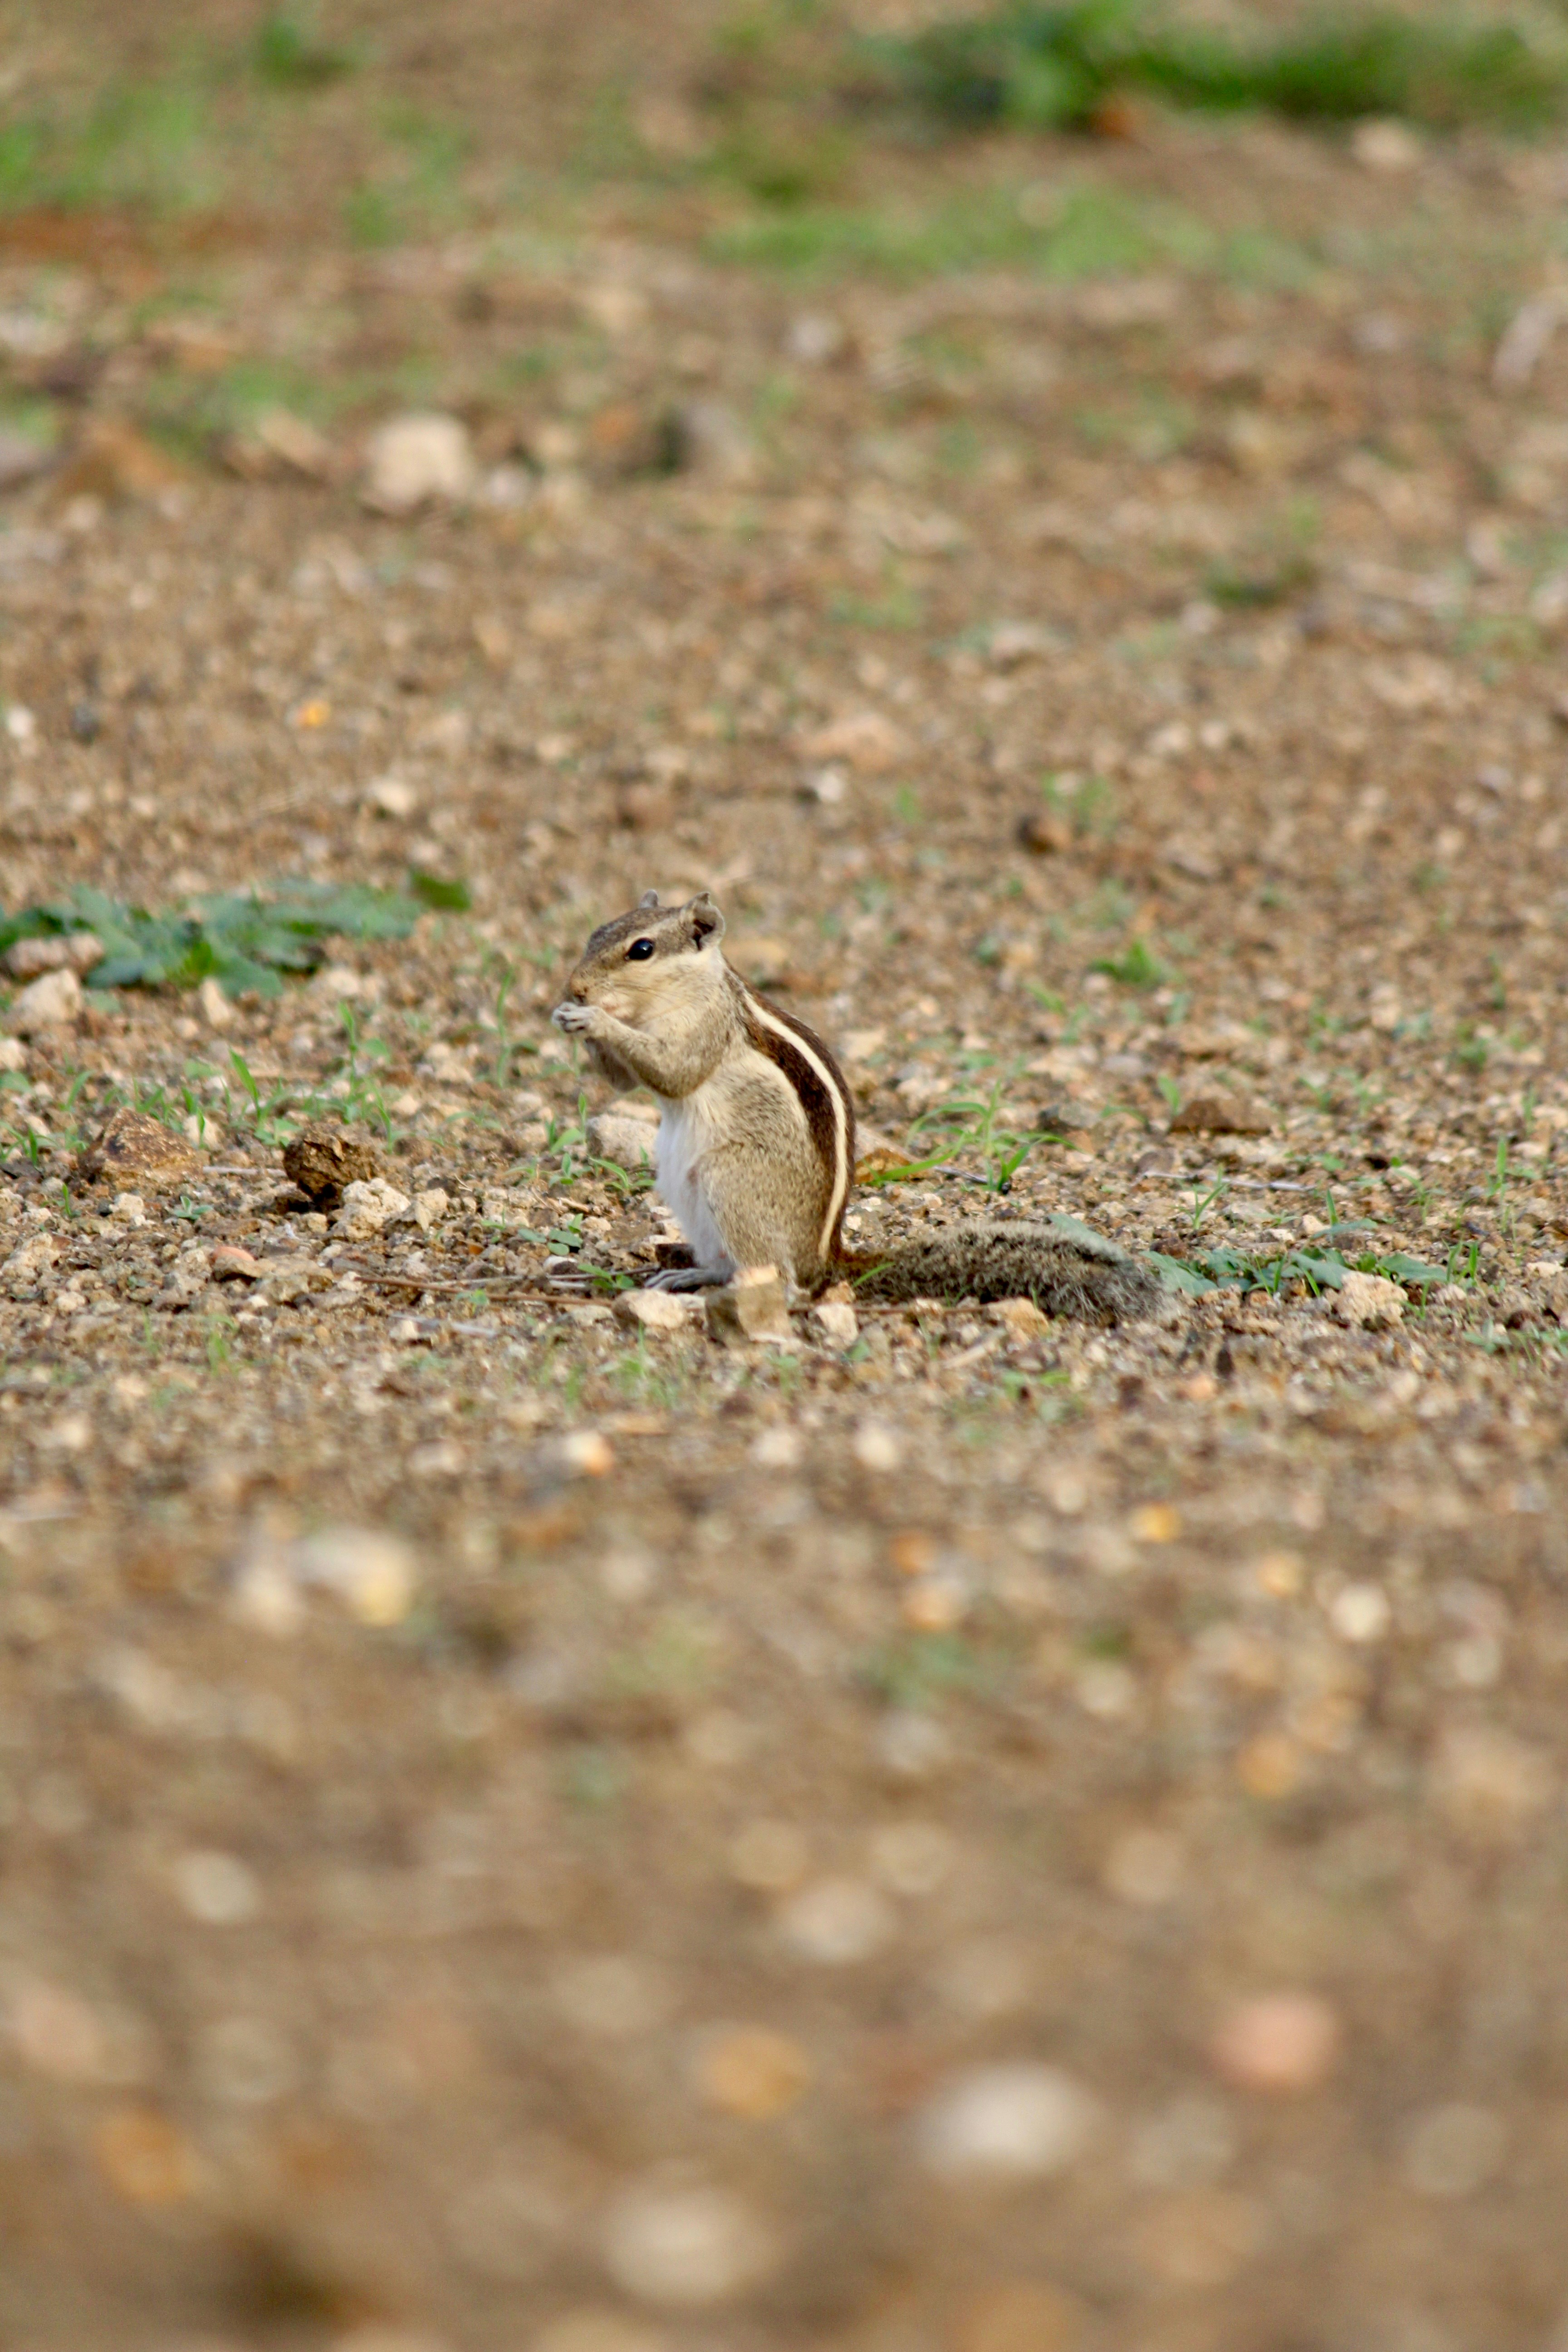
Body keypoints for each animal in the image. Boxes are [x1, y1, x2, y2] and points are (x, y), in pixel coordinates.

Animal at [552, 889, 1156, 1324]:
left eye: (642, 950)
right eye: (596, 933)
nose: (576, 986)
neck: (683, 992)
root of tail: (827, 1261)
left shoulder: (705, 1031)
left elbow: (674, 1073)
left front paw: (595, 1019)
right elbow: (624, 1082)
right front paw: (571, 1017)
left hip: (732, 1182)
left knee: (785, 1286)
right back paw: (689, 1278)